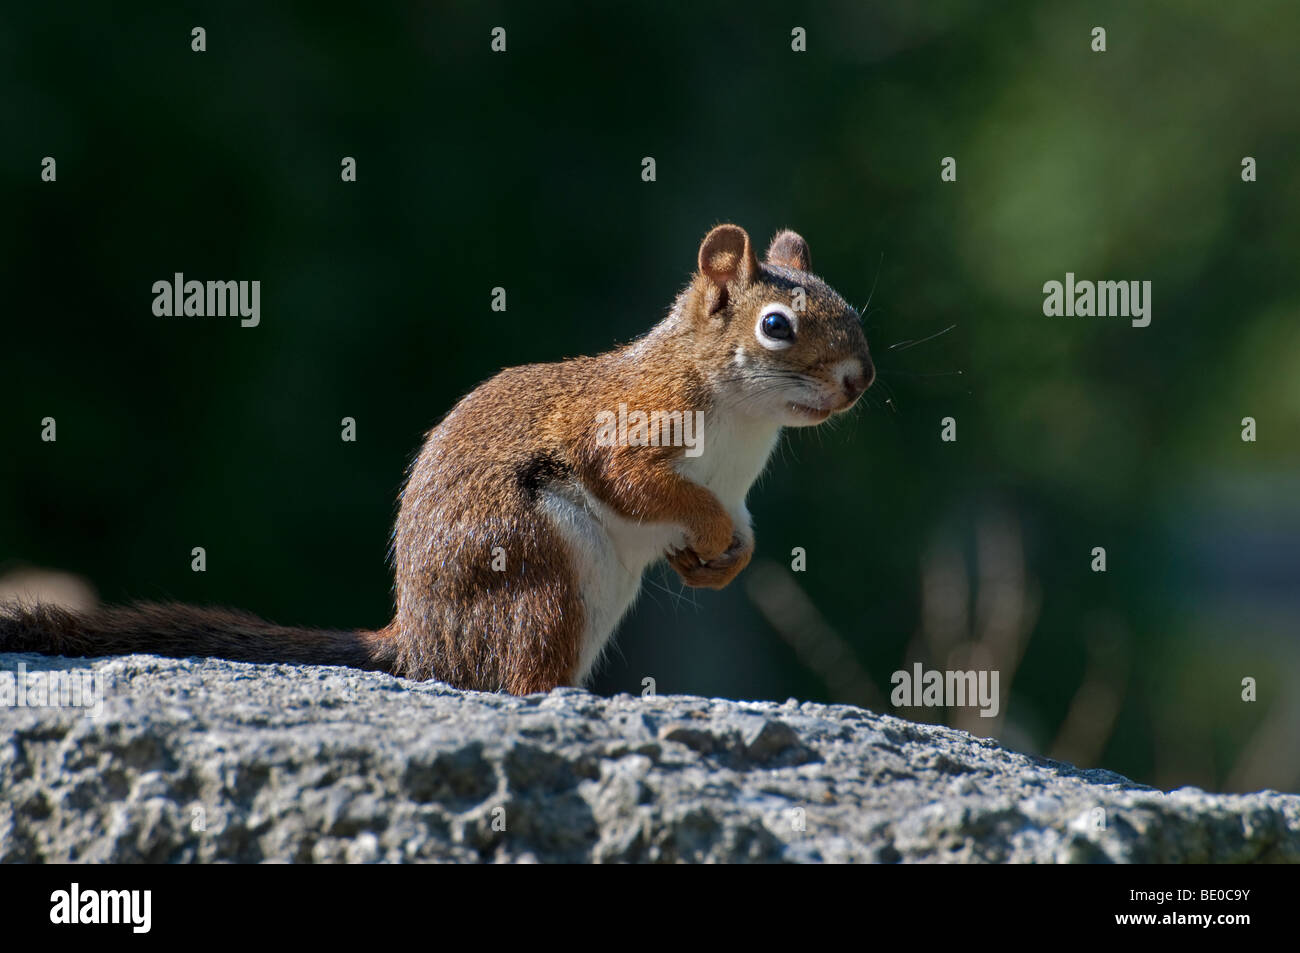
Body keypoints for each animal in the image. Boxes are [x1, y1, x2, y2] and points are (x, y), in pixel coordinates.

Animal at [1, 224, 873, 694]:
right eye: (775, 326)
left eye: (849, 307)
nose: (860, 380)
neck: (744, 427)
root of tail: (421, 642)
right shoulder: (630, 423)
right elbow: (637, 483)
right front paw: (704, 529)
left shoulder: (740, 488)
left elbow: (742, 525)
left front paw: (724, 560)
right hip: (533, 567)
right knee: (516, 675)